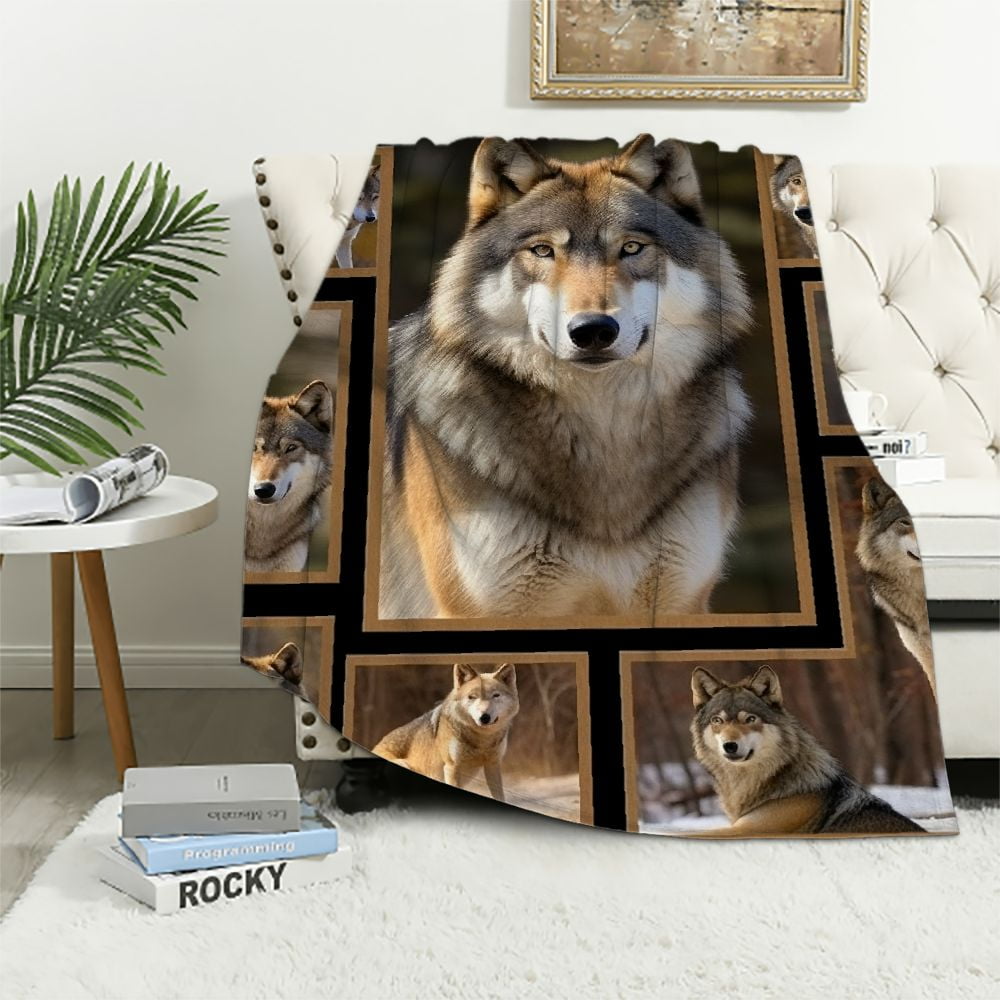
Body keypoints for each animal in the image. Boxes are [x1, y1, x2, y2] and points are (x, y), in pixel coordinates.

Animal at [372, 663, 519, 801]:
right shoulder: (451, 767)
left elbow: (500, 796)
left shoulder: (493, 766)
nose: (484, 717)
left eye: (496, 695)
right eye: (472, 697)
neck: (483, 740)